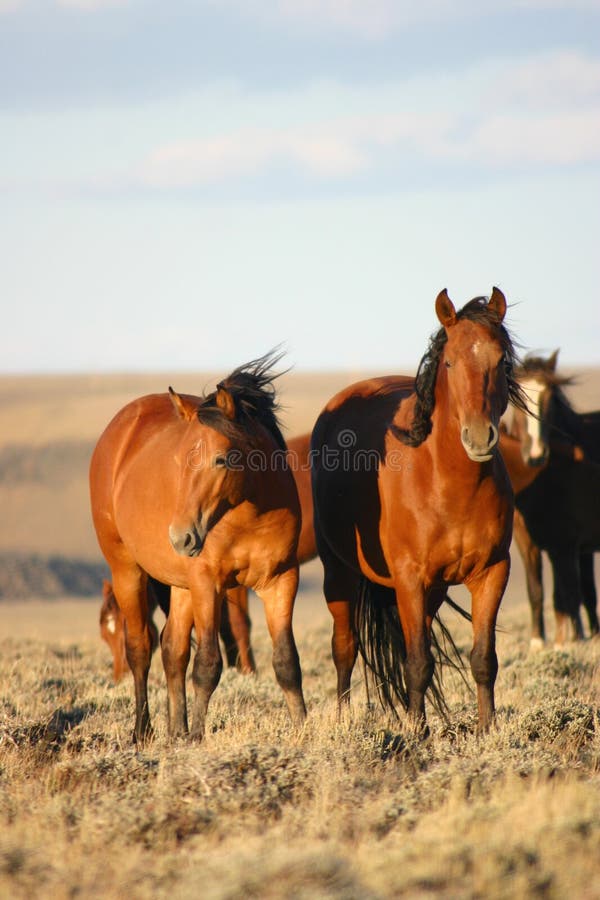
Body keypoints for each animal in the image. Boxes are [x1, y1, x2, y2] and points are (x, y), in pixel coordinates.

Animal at [89, 352, 306, 743]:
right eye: (178, 460)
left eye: (222, 458)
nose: (181, 537)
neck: (249, 513)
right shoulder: (209, 583)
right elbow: (207, 665)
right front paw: (198, 737)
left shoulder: (281, 581)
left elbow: (286, 662)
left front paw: (302, 730)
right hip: (127, 570)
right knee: (141, 647)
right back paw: (142, 731)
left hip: (180, 585)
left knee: (172, 648)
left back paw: (175, 730)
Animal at [311, 288, 526, 734]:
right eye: (450, 362)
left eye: (501, 361)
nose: (479, 437)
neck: (449, 484)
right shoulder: (409, 579)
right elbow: (416, 662)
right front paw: (417, 732)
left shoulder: (492, 573)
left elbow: (483, 659)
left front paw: (487, 730)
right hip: (338, 571)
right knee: (344, 648)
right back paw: (342, 719)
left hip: (434, 590)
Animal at [508, 352, 600, 645]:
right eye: (516, 400)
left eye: (548, 400)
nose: (536, 454)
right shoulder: (527, 540)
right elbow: (536, 589)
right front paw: (539, 641)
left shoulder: (568, 543)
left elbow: (572, 592)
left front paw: (574, 638)